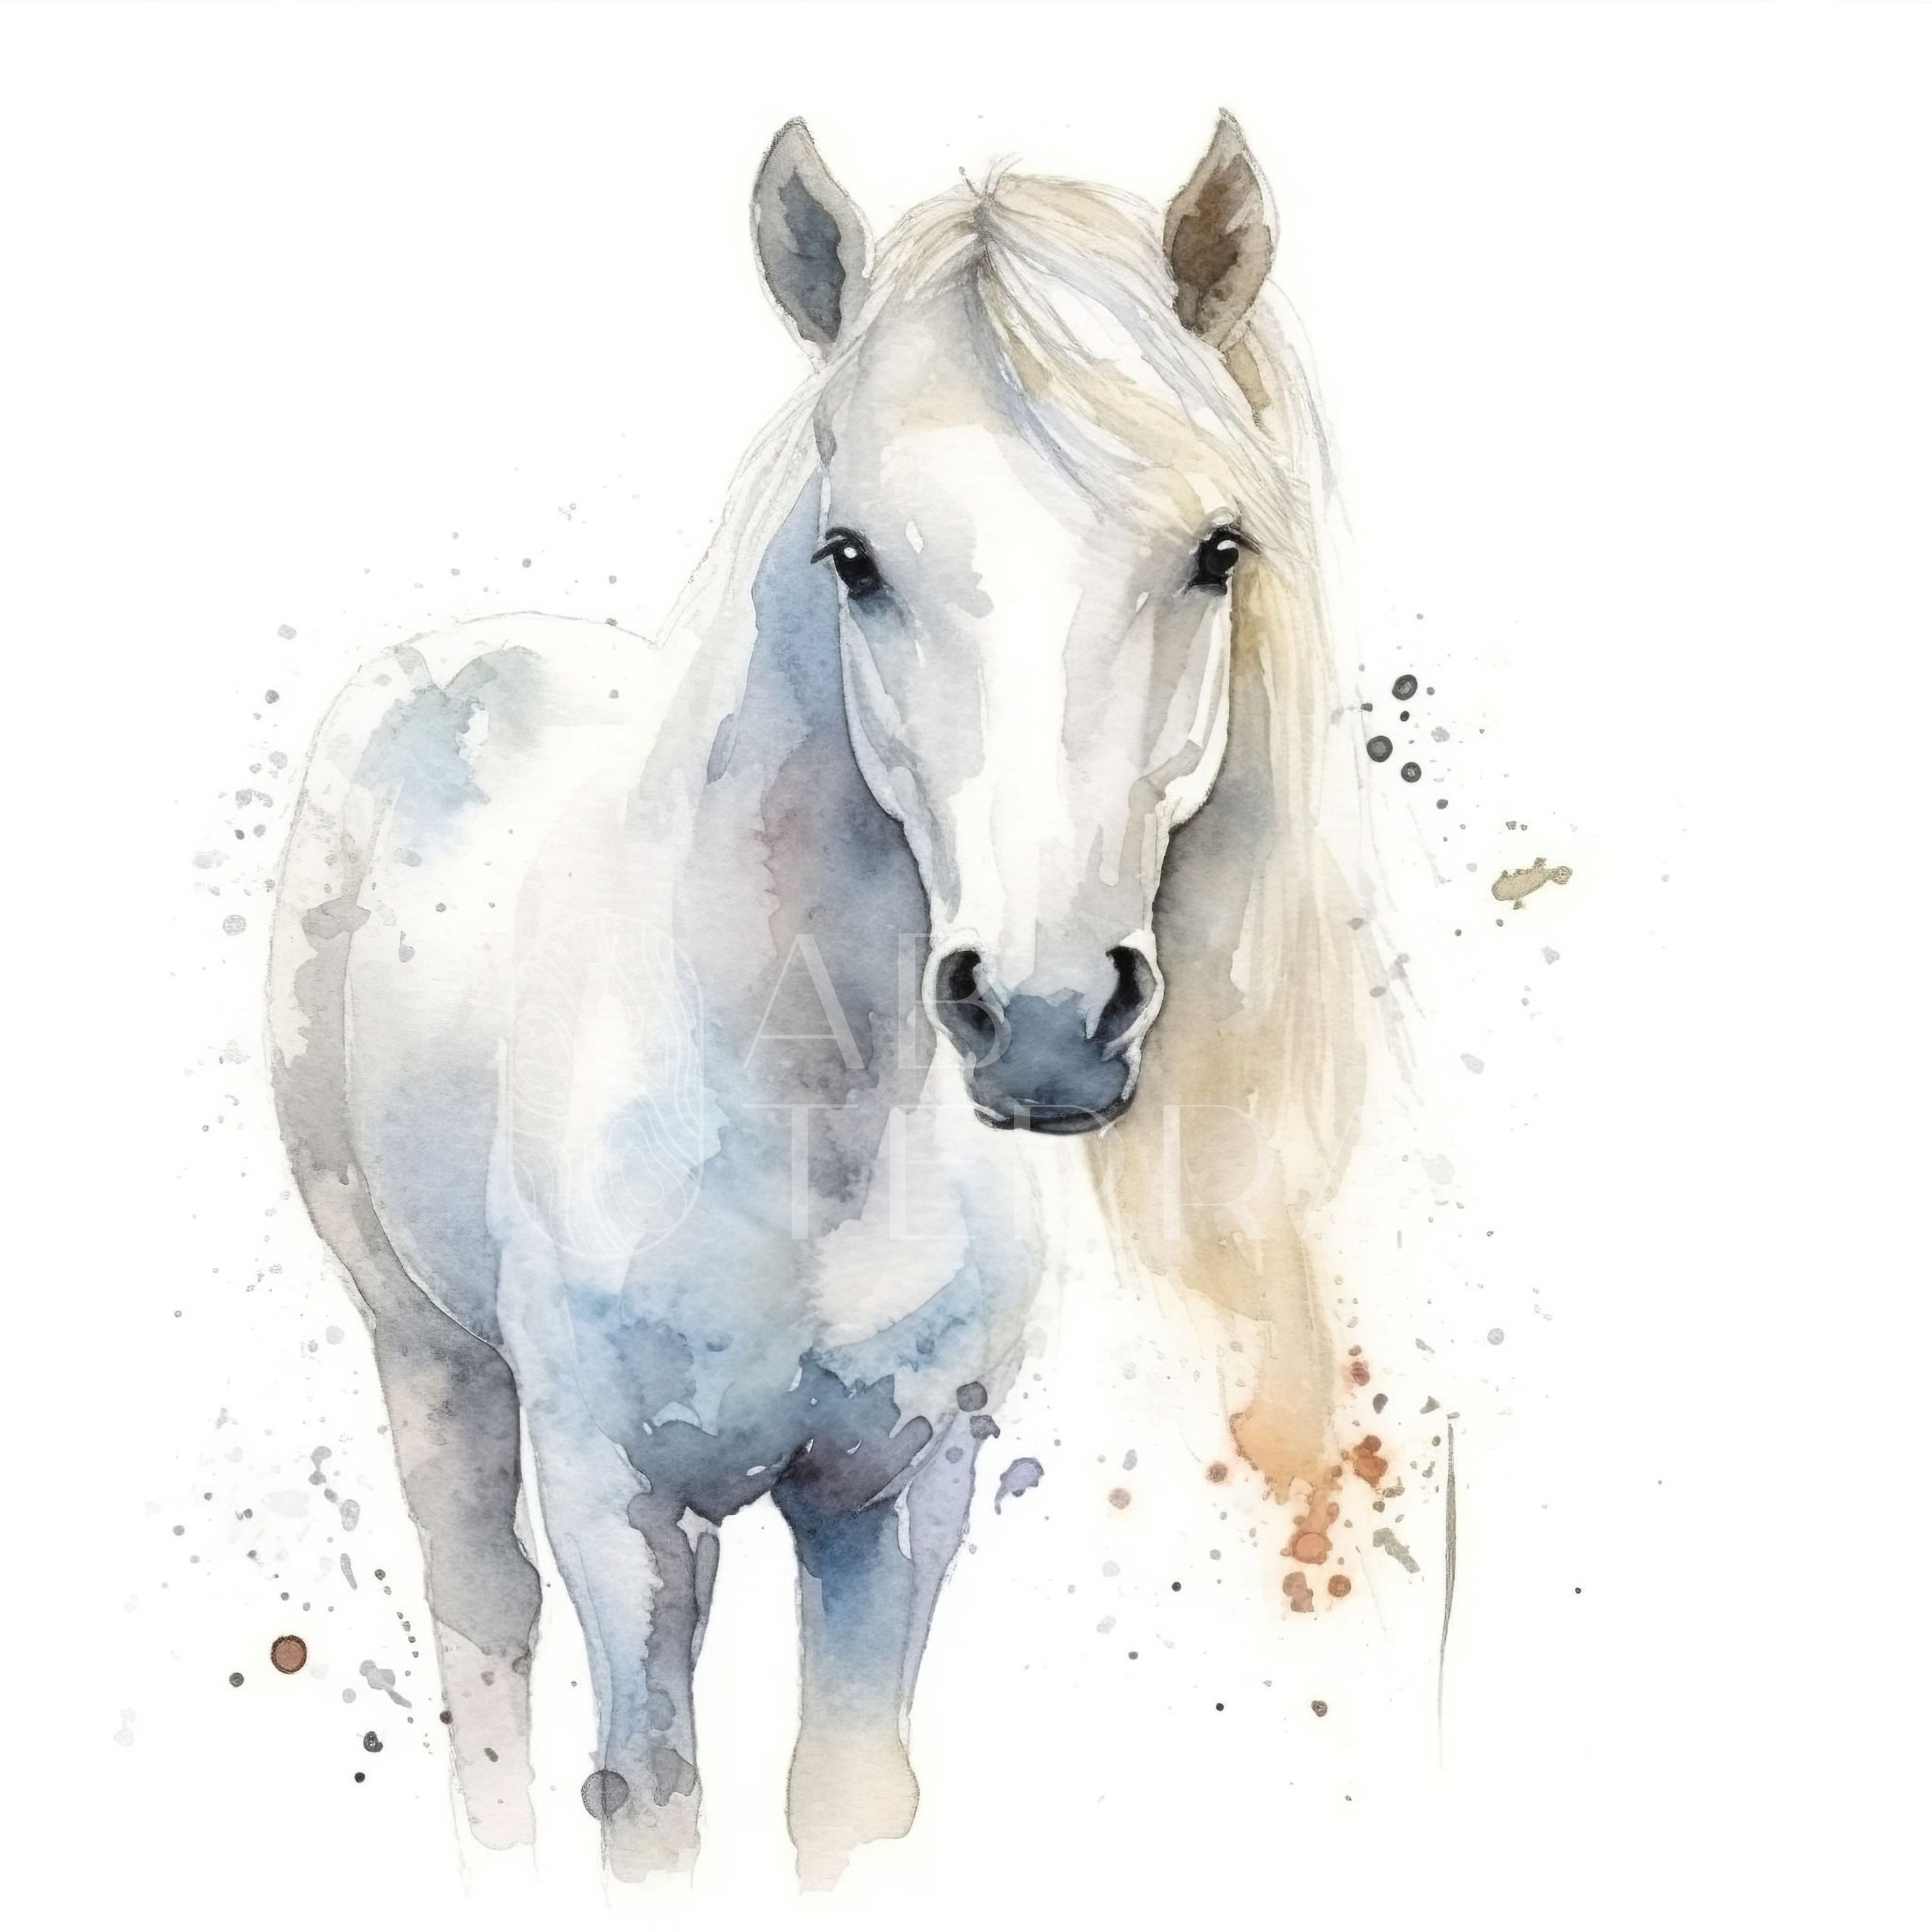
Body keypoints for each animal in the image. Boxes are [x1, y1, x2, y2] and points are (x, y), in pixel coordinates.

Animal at [268, 112, 1377, 1886]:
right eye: (851, 557)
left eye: (1217, 551)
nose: (1047, 1018)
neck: (807, 1113)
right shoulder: (617, 1511)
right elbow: (652, 1803)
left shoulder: (894, 1498)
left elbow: (848, 1796)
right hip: (424, 1351)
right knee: (480, 1624)